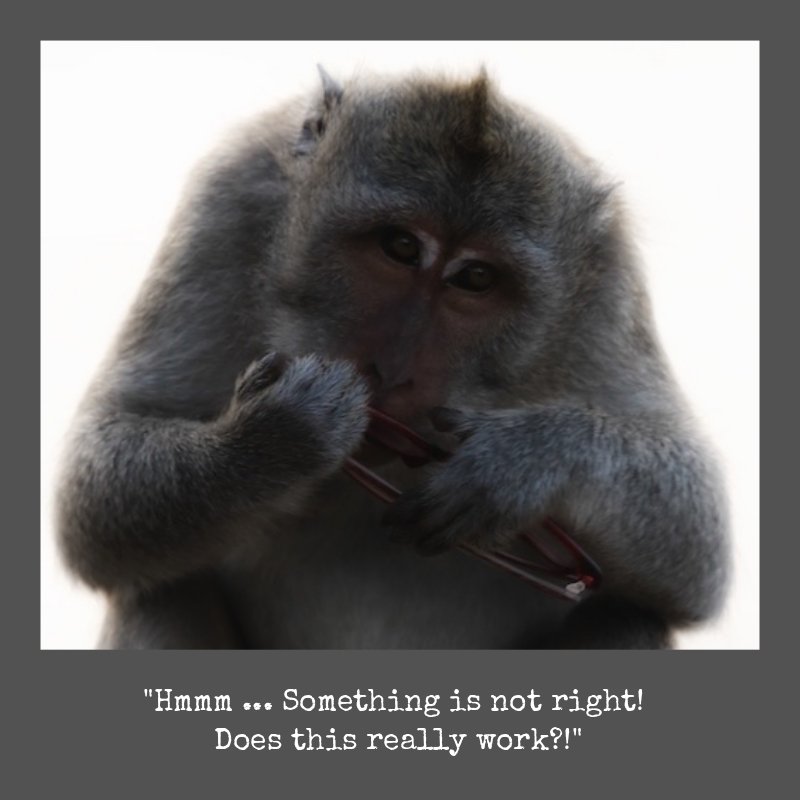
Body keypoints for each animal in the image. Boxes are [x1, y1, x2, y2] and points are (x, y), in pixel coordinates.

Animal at [55, 67, 729, 649]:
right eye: (400, 246)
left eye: (475, 278)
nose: (394, 372)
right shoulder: (231, 197)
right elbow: (99, 482)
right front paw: (276, 438)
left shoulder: (607, 281)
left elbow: (699, 548)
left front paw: (524, 460)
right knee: (163, 587)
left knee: (629, 613)